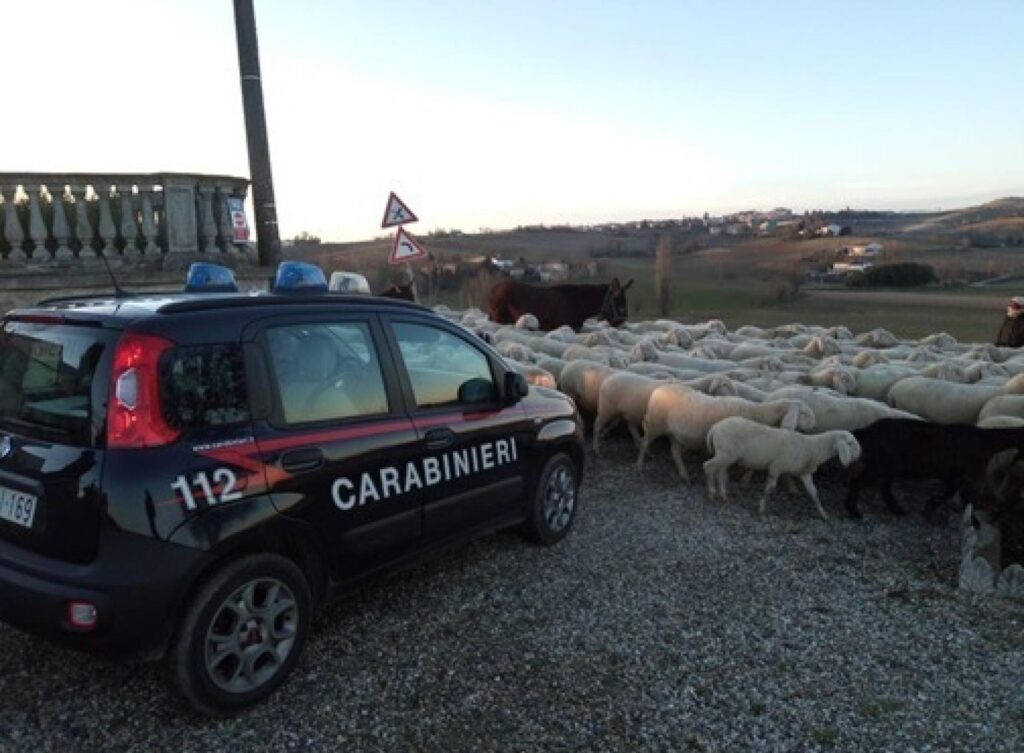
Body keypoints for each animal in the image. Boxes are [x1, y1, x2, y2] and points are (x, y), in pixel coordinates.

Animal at [637, 384, 816, 482]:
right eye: (804, 412)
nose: (814, 426)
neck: (757, 413)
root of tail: (658, 390)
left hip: (674, 432)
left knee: (674, 451)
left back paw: (684, 475)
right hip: (655, 424)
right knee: (645, 442)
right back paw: (638, 466)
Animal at [704, 417, 860, 520]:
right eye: (850, 443)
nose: (859, 455)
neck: (812, 448)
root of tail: (715, 427)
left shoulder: (805, 474)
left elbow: (814, 493)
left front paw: (823, 514)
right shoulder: (776, 467)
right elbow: (769, 490)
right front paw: (762, 509)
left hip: (727, 455)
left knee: (719, 472)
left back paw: (723, 495)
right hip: (725, 453)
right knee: (708, 466)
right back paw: (711, 493)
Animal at [845, 418, 1024, 518]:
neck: (986, 442)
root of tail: (864, 431)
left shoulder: (956, 475)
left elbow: (951, 493)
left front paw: (929, 507)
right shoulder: (971, 474)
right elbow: (967, 499)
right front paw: (973, 522)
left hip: (887, 467)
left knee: (884, 489)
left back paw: (897, 510)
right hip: (879, 465)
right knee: (857, 482)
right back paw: (853, 512)